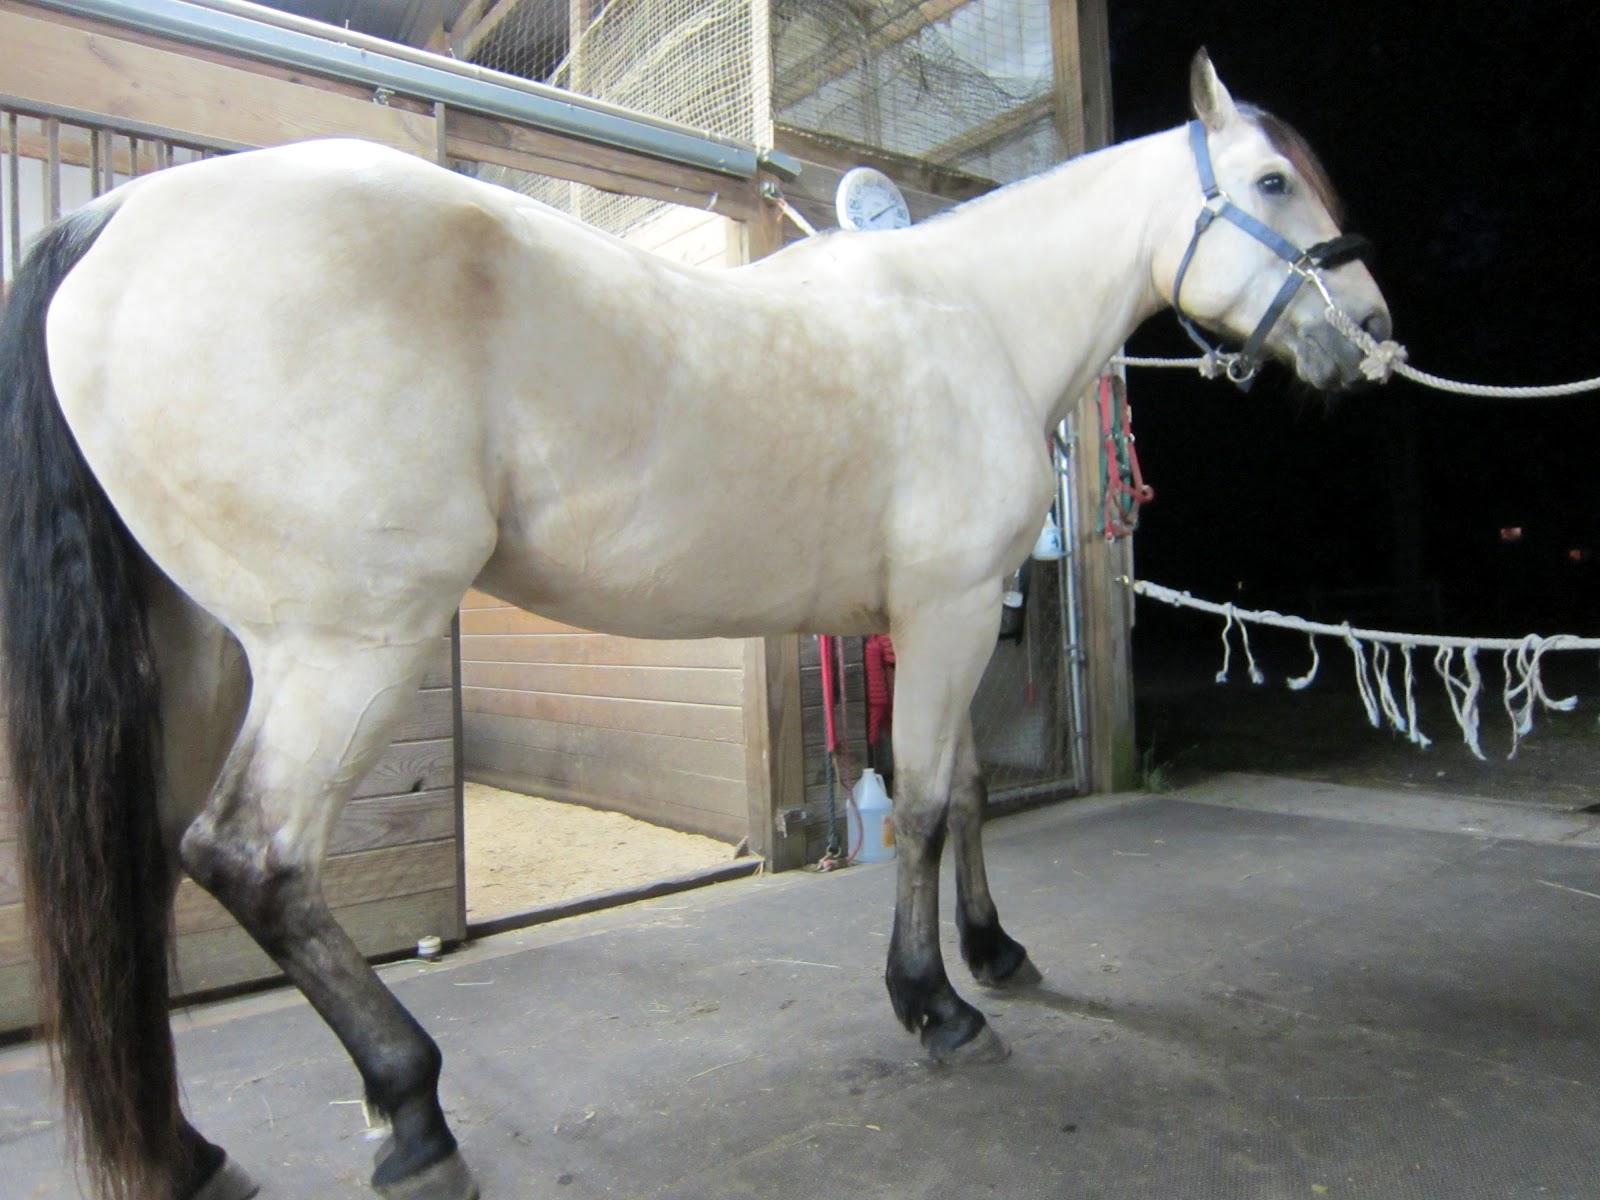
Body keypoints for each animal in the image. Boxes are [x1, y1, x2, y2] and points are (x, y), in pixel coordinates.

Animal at [0, 50, 1389, 1200]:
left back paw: (189, 1152)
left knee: (144, 875)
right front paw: (935, 1004)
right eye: (1272, 179)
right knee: (252, 858)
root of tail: (118, 217)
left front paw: (993, 954)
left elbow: (969, 788)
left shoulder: (930, 621)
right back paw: (412, 1114)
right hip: (343, 649)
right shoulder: (943, 609)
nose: (1370, 337)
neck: (974, 318)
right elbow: (927, 803)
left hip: (198, 655)